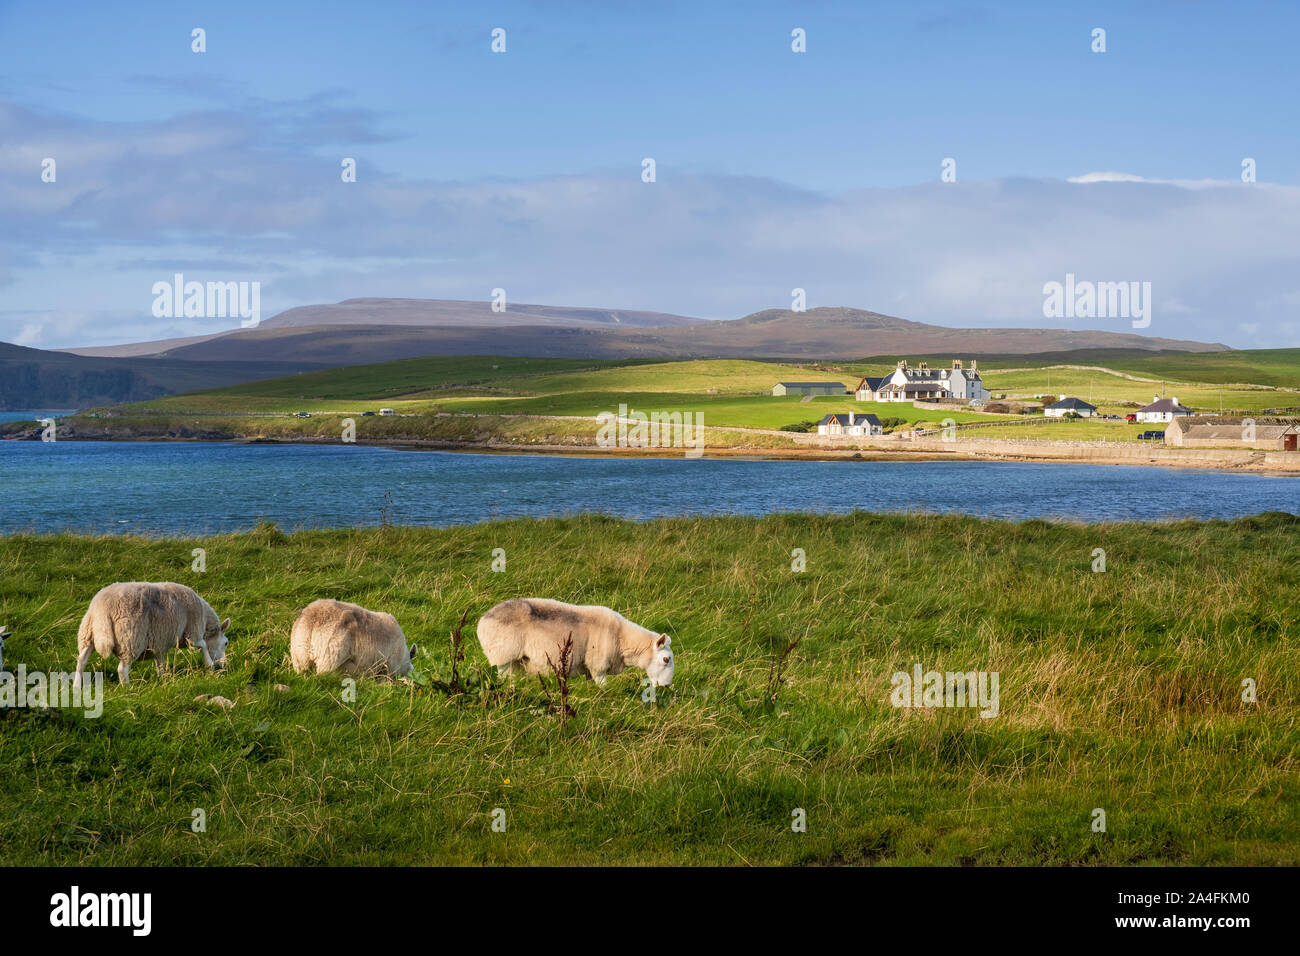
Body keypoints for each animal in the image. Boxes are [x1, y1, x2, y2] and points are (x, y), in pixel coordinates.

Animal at [73, 582, 231, 689]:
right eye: (226, 643)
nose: (225, 664)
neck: (205, 620)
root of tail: (103, 609)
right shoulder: (192, 632)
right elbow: (203, 645)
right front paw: (210, 665)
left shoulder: (160, 642)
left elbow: (160, 662)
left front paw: (163, 678)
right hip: (131, 639)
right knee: (122, 669)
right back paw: (128, 688)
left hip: (87, 635)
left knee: (81, 662)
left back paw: (76, 686)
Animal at [476, 598, 674, 686]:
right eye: (666, 659)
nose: (666, 686)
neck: (623, 639)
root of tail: (482, 621)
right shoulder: (598, 665)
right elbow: (603, 685)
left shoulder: (588, 669)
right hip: (503, 655)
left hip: (515, 662)